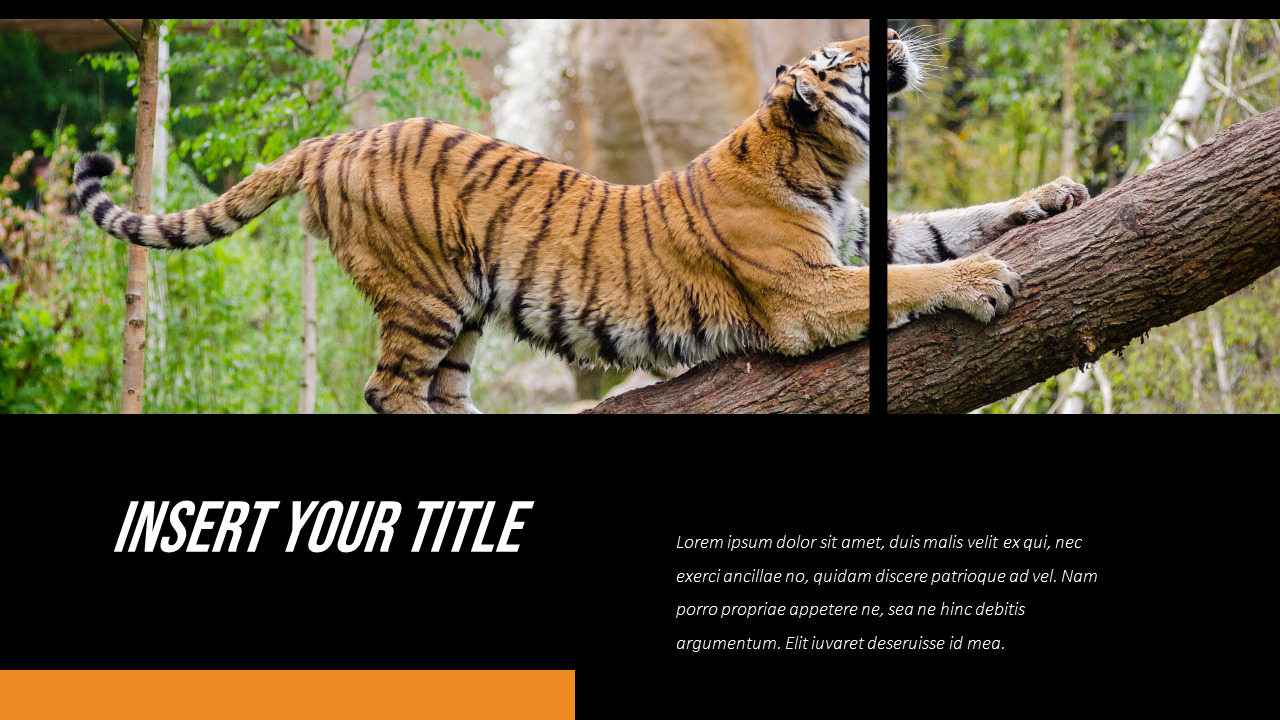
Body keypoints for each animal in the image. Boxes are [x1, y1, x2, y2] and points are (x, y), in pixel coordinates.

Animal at [75, 37, 872, 414]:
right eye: (843, 57)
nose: (889, 41)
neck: (817, 161)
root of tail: (333, 138)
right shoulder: (806, 296)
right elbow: (899, 281)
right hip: (429, 293)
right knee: (391, 389)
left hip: (465, 308)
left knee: (444, 391)